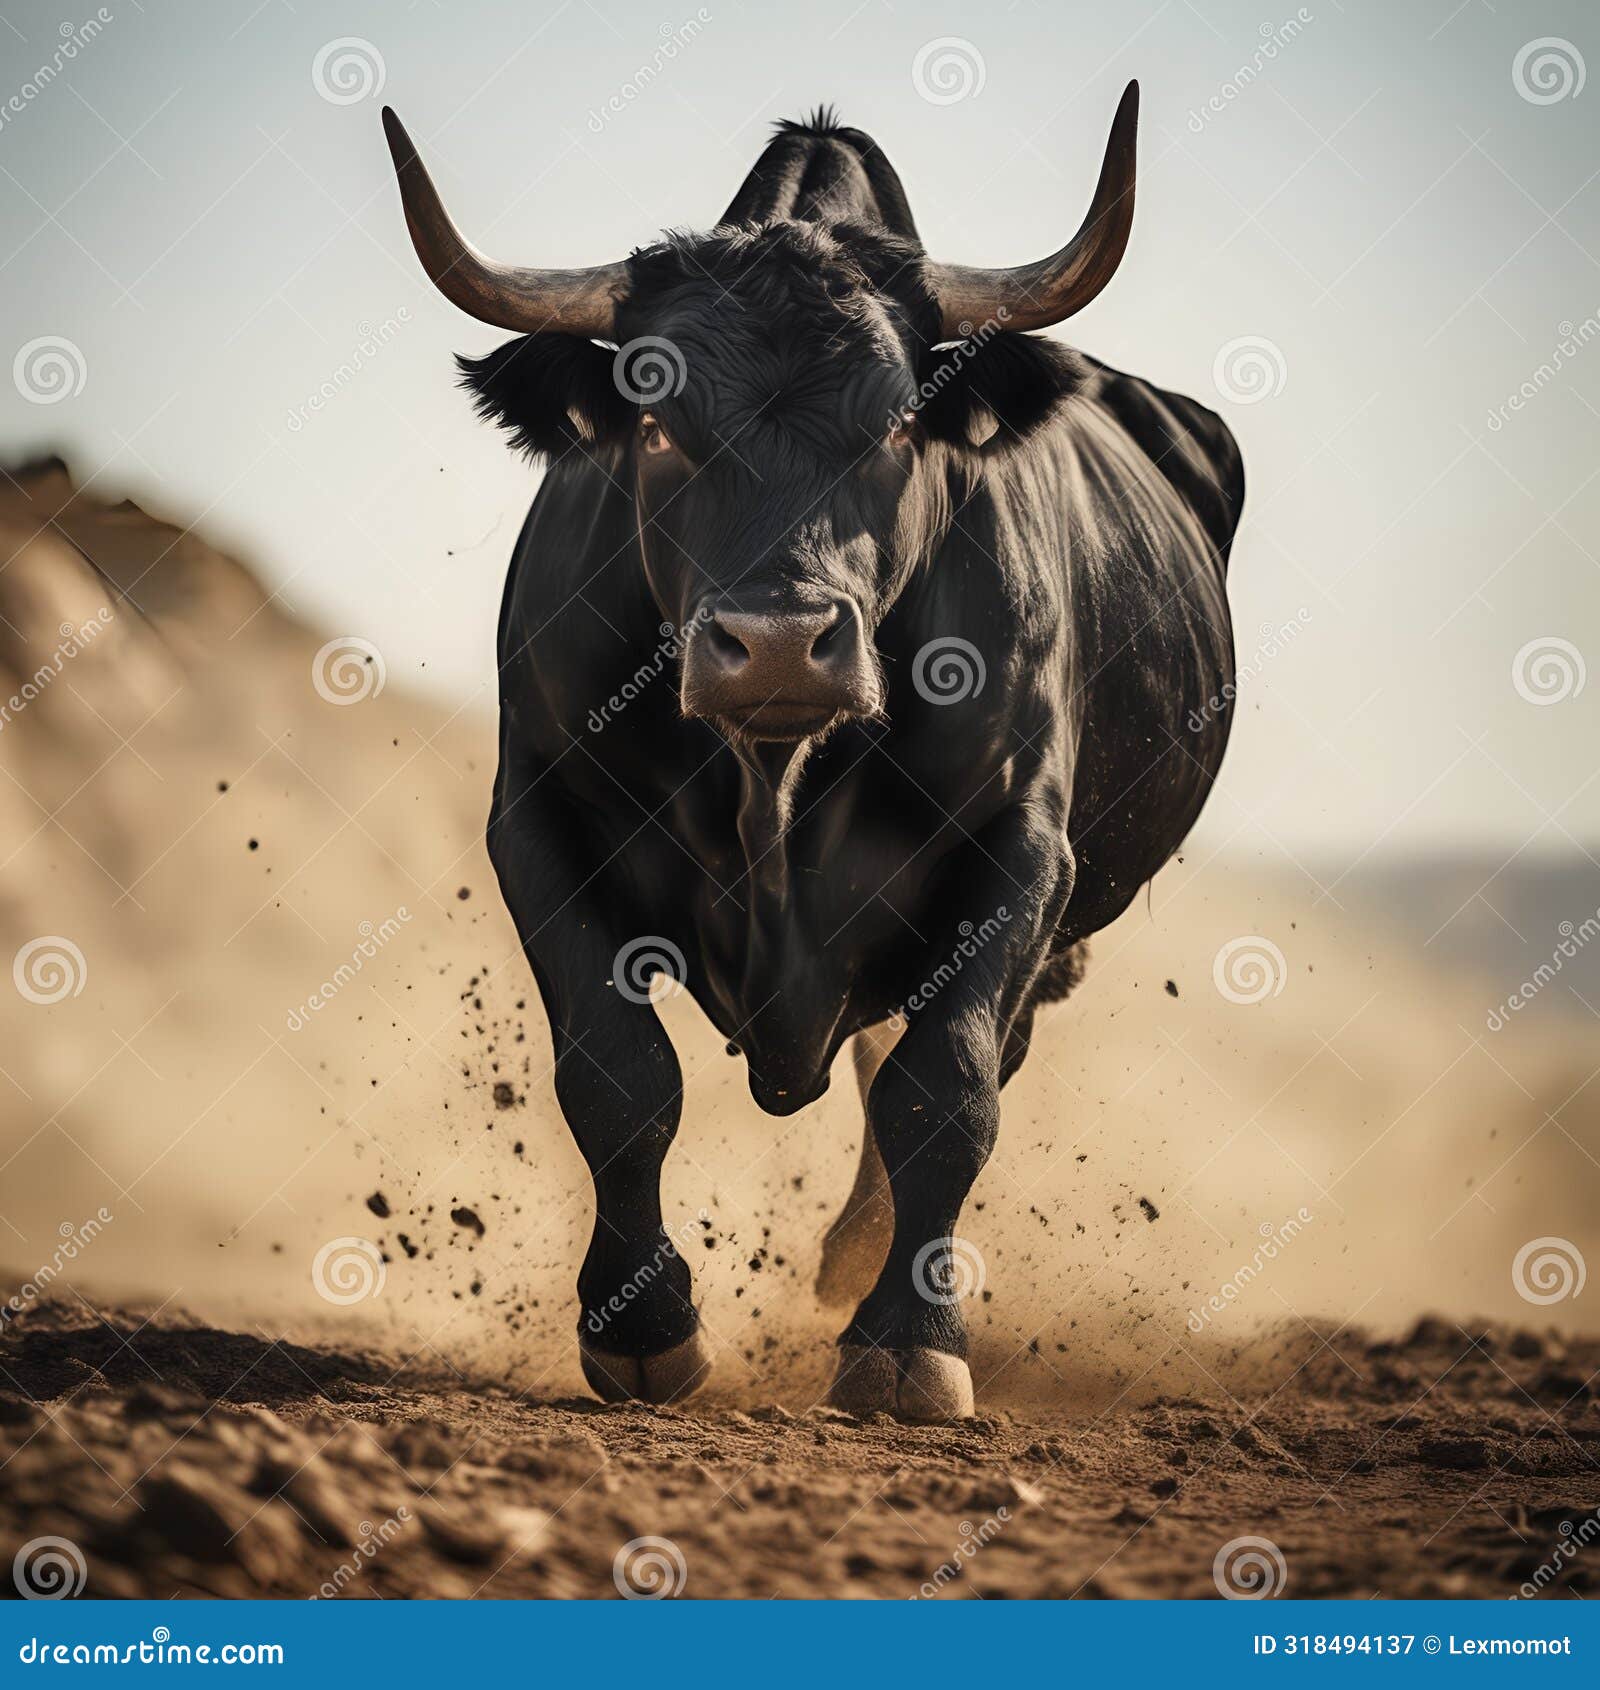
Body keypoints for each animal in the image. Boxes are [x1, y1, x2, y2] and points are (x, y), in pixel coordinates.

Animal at [382, 82, 1243, 1421]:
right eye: (655, 420)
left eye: (894, 426)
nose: (779, 645)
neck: (769, 785)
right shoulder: (538, 818)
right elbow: (617, 1076)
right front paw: (642, 1326)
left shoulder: (1017, 852)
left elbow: (945, 1090)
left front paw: (910, 1342)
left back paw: (862, 1258)